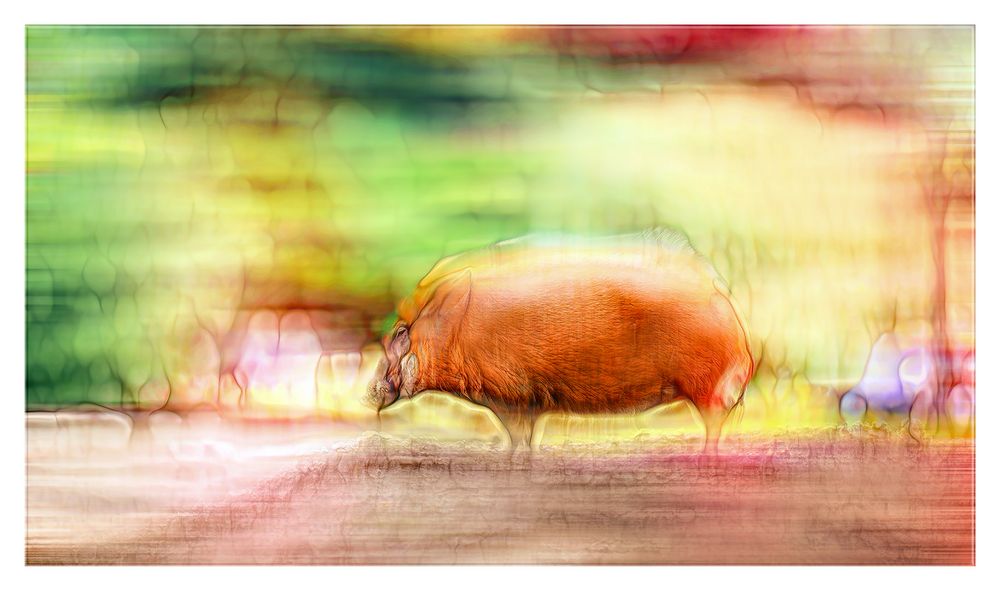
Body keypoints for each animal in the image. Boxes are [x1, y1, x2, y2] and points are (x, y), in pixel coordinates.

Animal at [368, 229, 754, 453]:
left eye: (400, 333)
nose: (369, 391)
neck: (453, 330)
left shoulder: (513, 395)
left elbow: (518, 443)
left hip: (709, 388)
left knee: (714, 432)